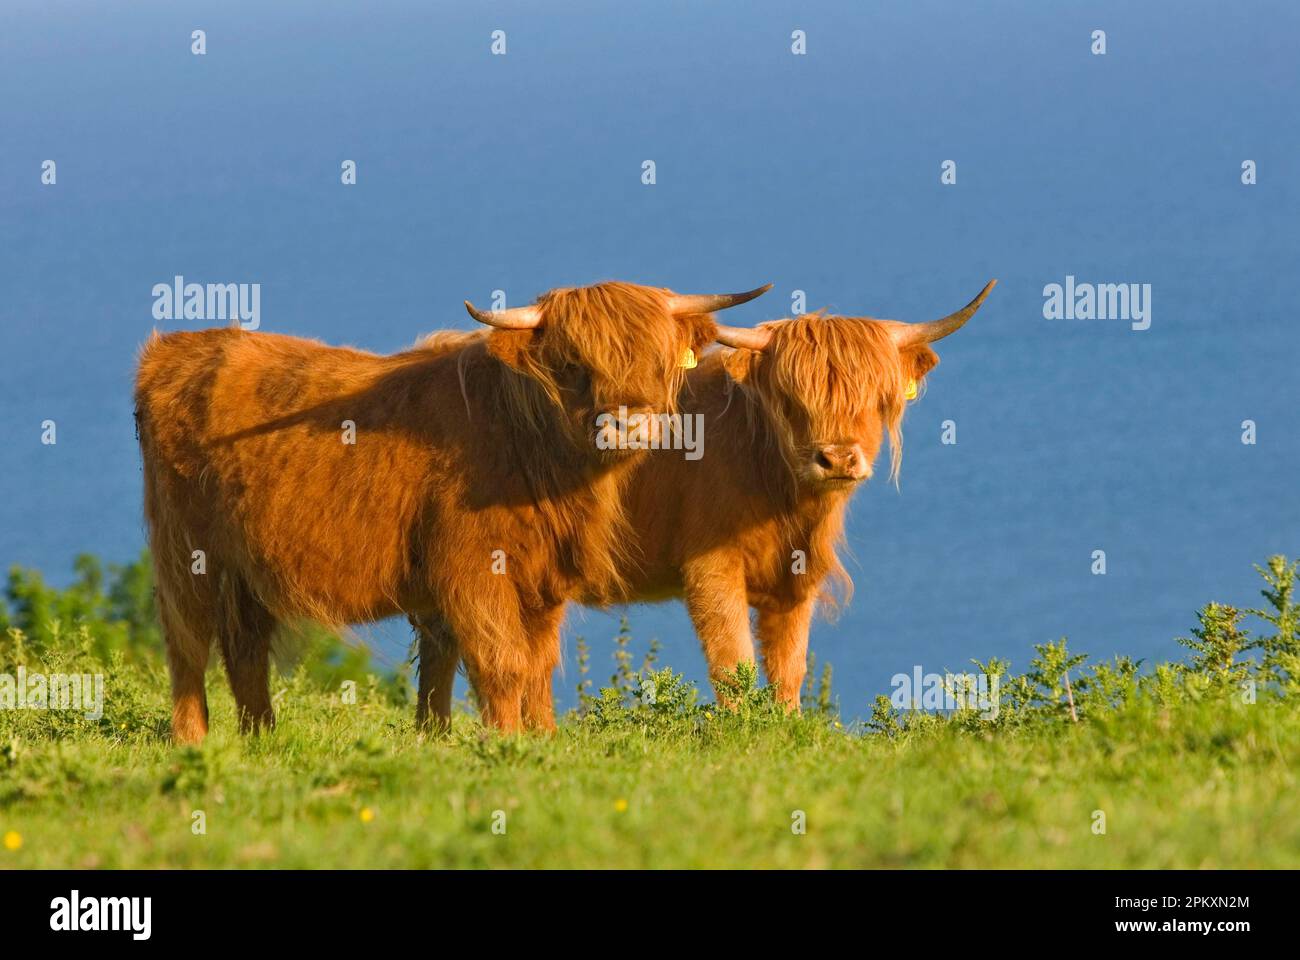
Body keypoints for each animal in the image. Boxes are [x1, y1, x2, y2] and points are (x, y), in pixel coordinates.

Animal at [134, 280, 771, 742]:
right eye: (572, 363)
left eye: (659, 359)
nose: (628, 424)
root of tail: (176, 347)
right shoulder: (473, 570)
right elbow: (502, 662)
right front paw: (505, 743)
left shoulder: (544, 580)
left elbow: (536, 666)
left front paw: (541, 739)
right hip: (186, 554)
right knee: (187, 643)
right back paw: (193, 739)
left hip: (245, 569)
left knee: (245, 647)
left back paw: (262, 737)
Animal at [413, 280, 995, 725]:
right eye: (791, 399)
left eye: (878, 400)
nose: (836, 459)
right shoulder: (711, 567)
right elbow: (731, 659)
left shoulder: (794, 579)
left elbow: (789, 668)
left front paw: (786, 729)